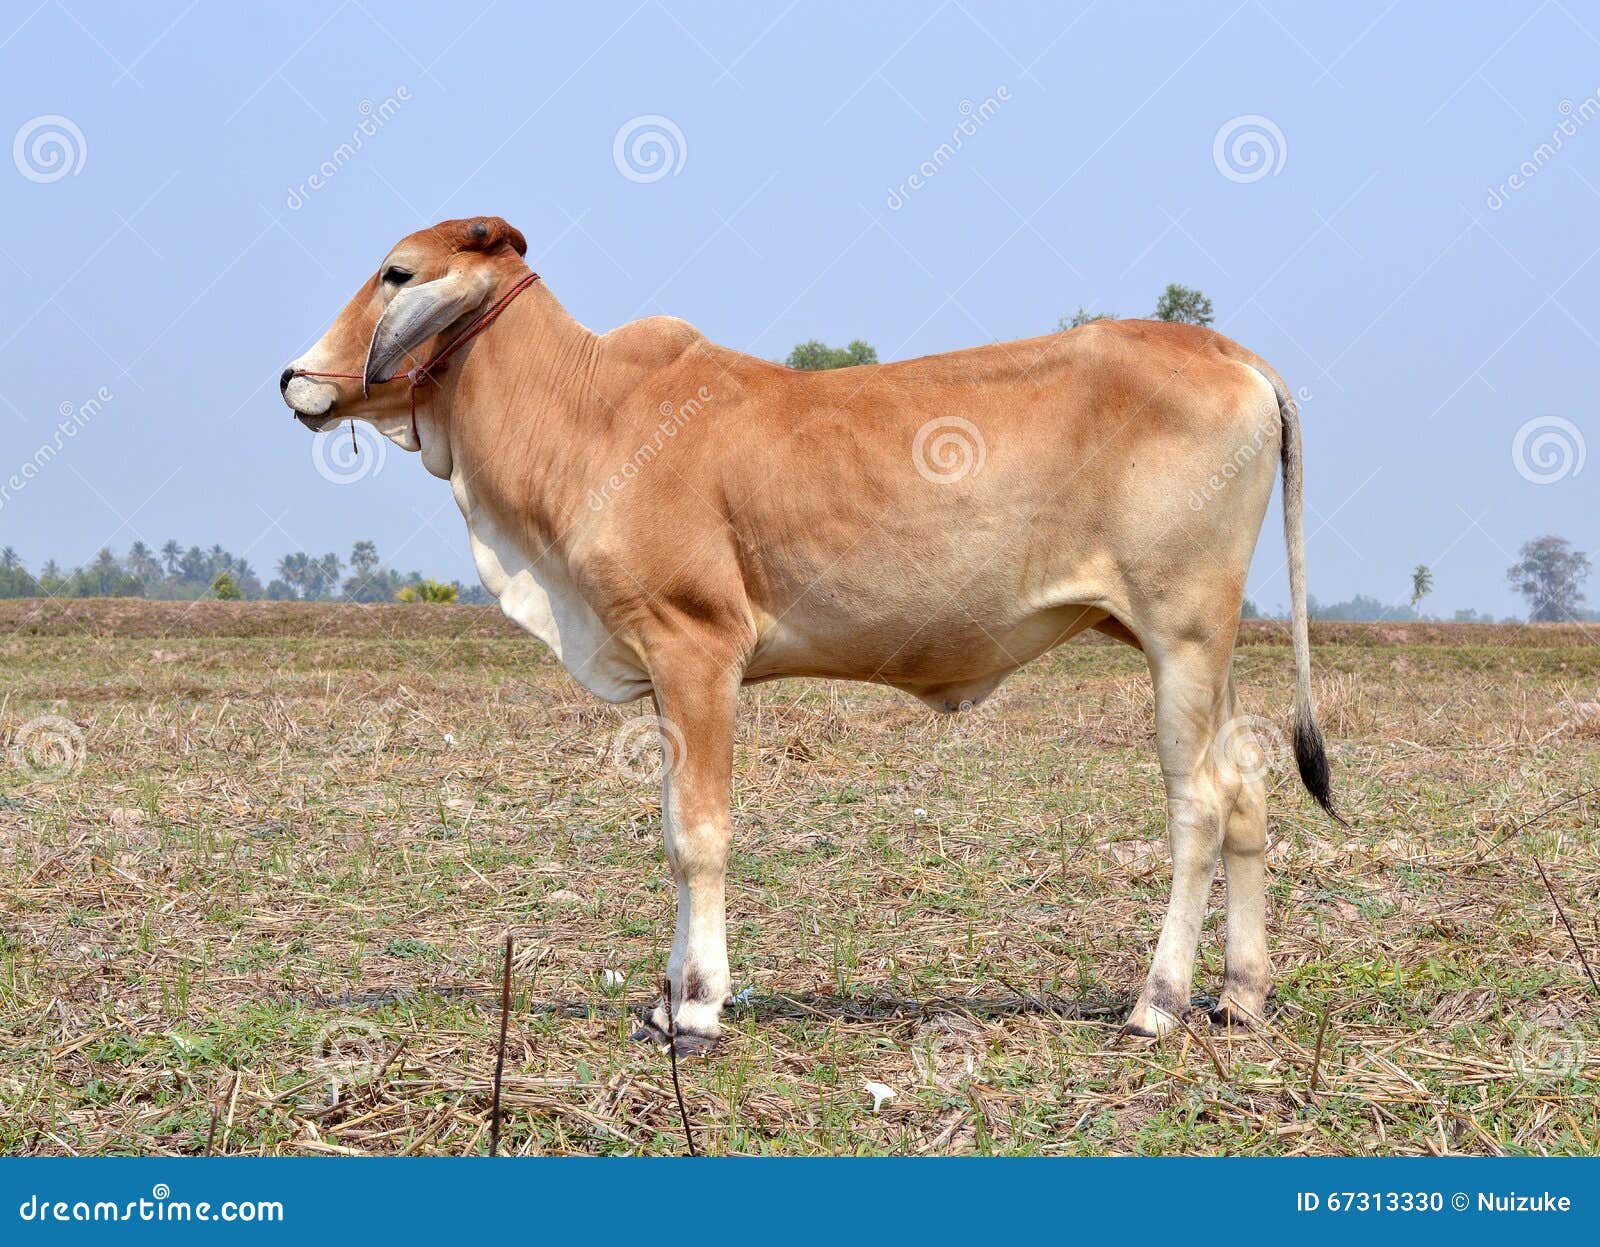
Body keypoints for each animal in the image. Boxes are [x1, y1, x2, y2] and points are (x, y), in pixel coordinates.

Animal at [280, 216, 1339, 1053]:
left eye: (398, 273)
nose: (294, 376)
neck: (591, 414)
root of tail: (1233, 355)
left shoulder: (697, 649)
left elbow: (698, 833)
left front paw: (698, 1007)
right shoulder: (667, 676)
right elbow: (672, 825)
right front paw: (665, 999)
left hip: (1180, 635)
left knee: (1198, 805)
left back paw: (1157, 1000)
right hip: (1206, 645)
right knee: (1247, 790)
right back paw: (1241, 995)